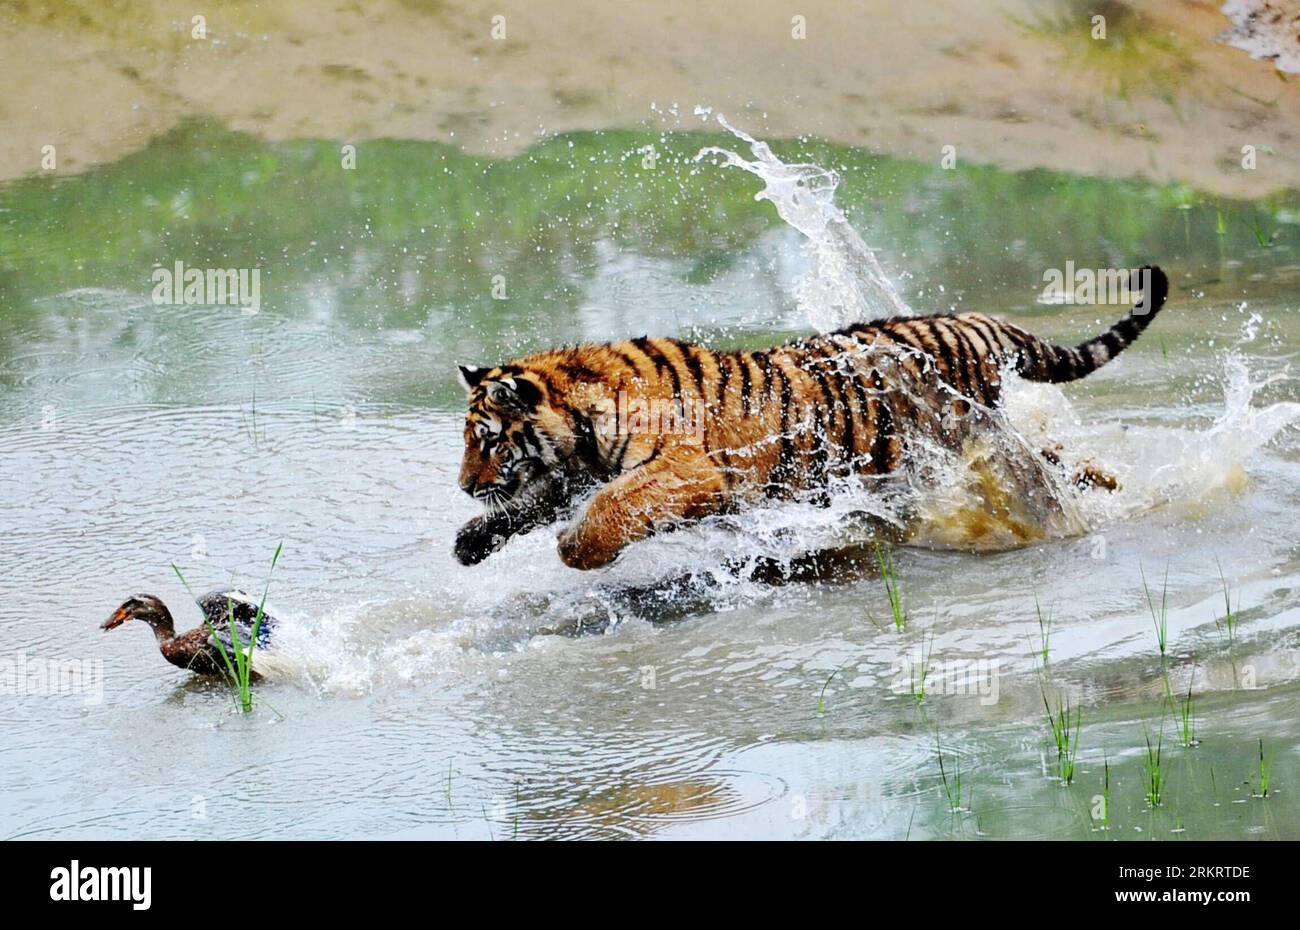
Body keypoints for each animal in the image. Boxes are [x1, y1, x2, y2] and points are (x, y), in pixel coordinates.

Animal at [454, 265, 1169, 570]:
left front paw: (577, 551)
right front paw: (470, 541)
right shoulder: (574, 473)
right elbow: (530, 502)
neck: (583, 427)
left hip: (963, 446)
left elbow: (613, 506)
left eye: (487, 441)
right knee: (1060, 463)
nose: (462, 486)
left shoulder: (687, 468)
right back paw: (1116, 491)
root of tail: (968, 320)